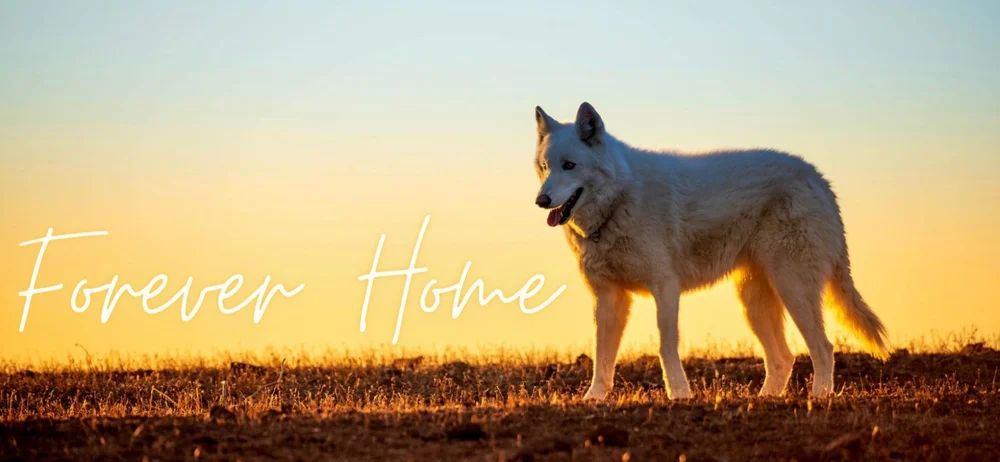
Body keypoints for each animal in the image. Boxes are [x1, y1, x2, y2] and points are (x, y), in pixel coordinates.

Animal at [533, 102, 888, 400]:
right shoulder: (609, 298)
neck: (617, 204)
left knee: (823, 348)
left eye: (569, 165)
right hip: (754, 302)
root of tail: (818, 177)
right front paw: (593, 399)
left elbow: (665, 347)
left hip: (793, 289)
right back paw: (765, 400)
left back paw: (819, 397)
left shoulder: (665, 288)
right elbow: (602, 357)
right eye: (545, 167)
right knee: (784, 357)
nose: (541, 200)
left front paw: (679, 395)